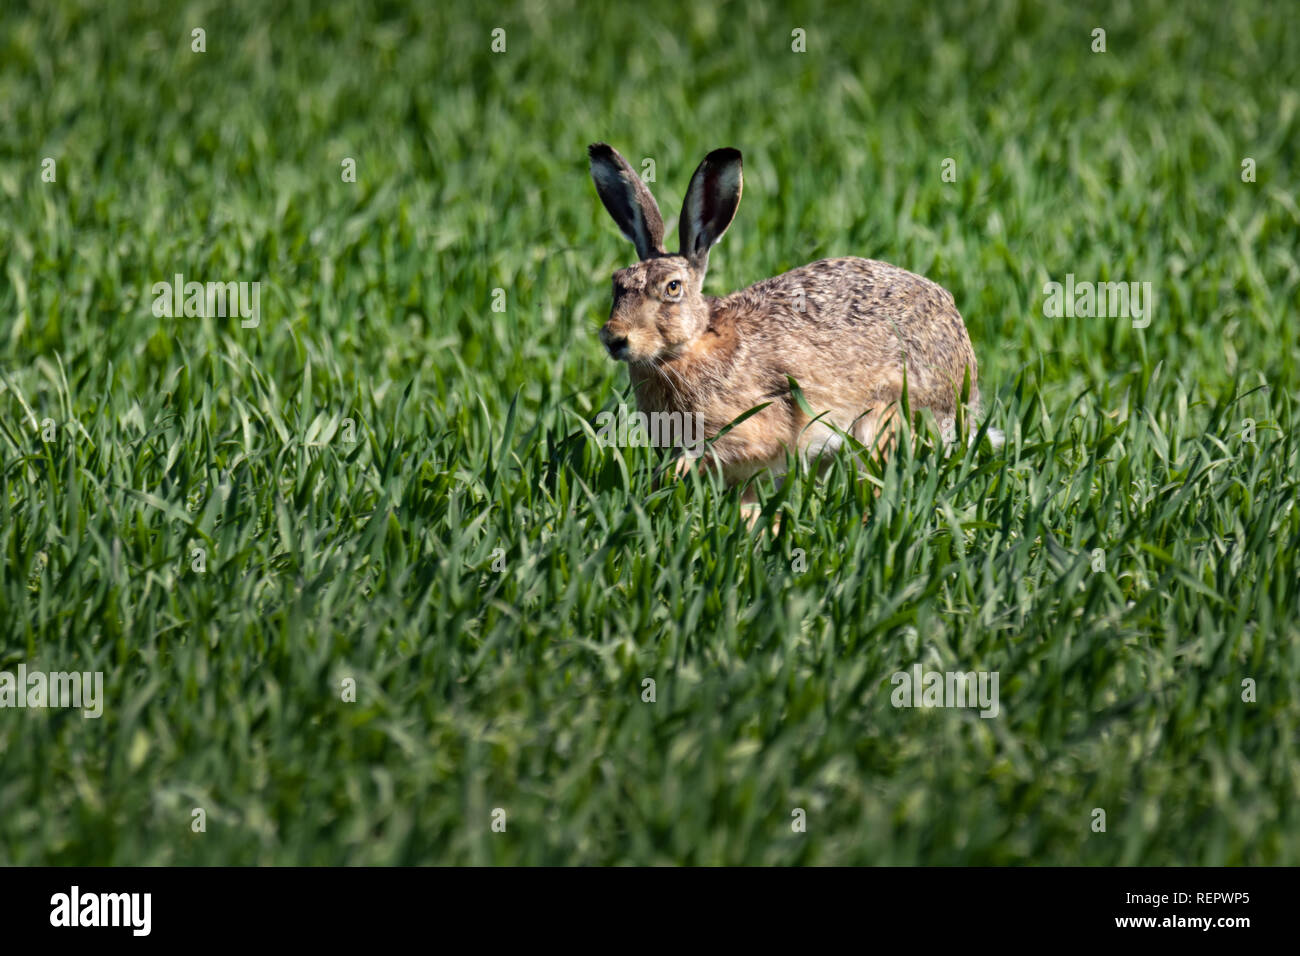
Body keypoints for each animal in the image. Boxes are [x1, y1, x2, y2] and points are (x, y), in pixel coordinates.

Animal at [588, 142, 995, 500]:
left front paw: (669, 477)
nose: (614, 338)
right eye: (616, 283)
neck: (692, 345)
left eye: (672, 287)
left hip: (886, 419)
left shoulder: (754, 435)